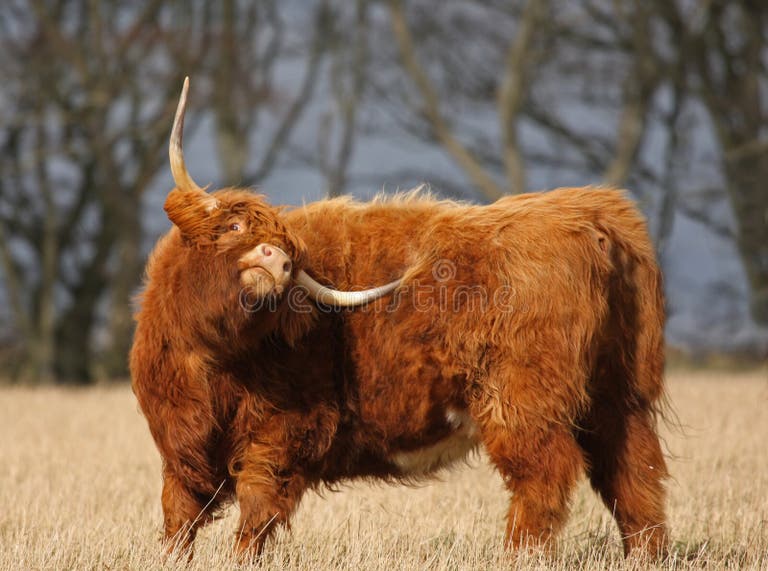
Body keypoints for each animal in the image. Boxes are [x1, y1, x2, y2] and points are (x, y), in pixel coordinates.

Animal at [130, 79, 669, 560]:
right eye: (235, 225)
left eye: (290, 254)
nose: (278, 261)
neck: (212, 363)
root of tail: (589, 212)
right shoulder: (181, 450)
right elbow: (179, 517)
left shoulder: (282, 433)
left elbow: (256, 511)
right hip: (619, 396)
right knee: (634, 476)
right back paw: (648, 554)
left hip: (524, 403)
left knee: (545, 477)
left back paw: (520, 554)